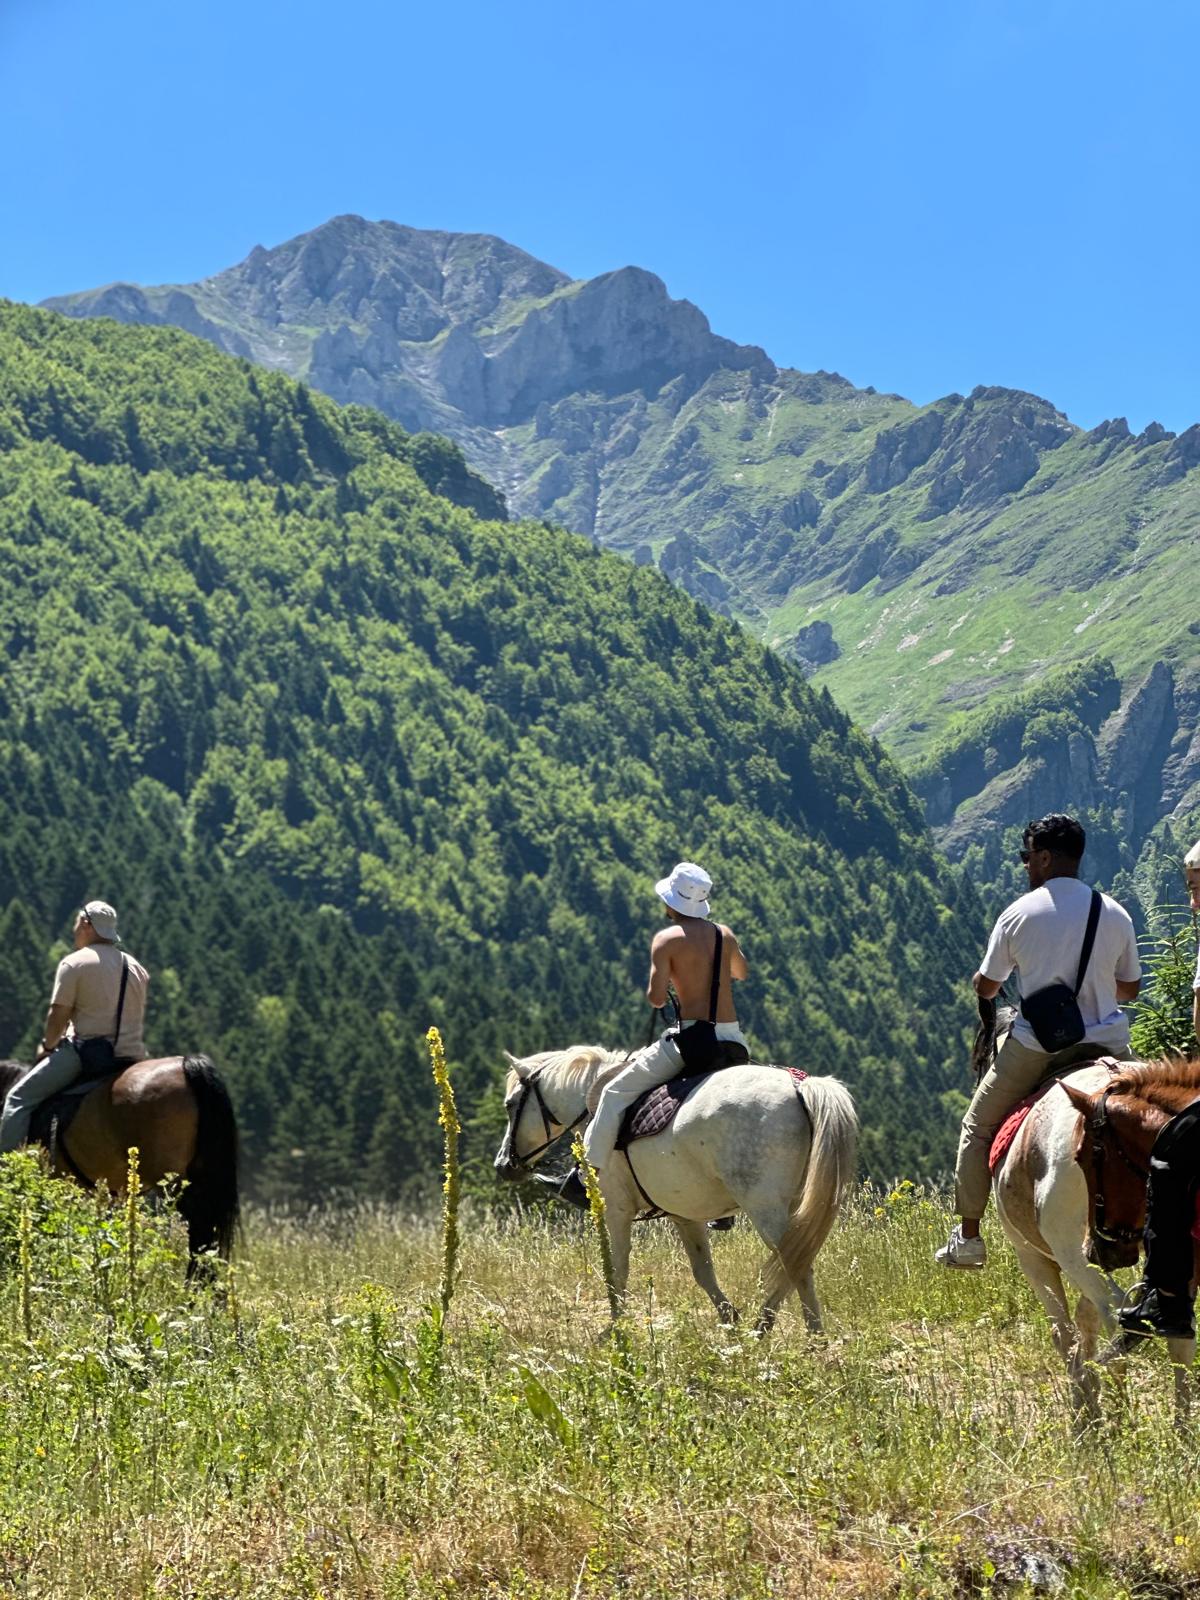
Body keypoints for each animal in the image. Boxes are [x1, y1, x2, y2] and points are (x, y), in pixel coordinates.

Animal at [494, 1044, 858, 1334]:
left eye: (511, 1104)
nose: (503, 1165)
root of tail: (799, 1085)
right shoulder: (686, 1216)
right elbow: (703, 1272)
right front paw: (730, 1319)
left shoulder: (616, 1211)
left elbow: (617, 1269)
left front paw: (615, 1328)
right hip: (794, 1207)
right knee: (795, 1259)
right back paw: (763, 1326)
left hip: (764, 1207)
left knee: (796, 1264)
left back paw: (812, 1336)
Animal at [982, 1001, 1196, 1419]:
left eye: (1083, 1157)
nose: (1105, 1251)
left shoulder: (1032, 1256)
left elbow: (1067, 1332)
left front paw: (1087, 1400)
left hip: (1065, 1250)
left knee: (1111, 1315)